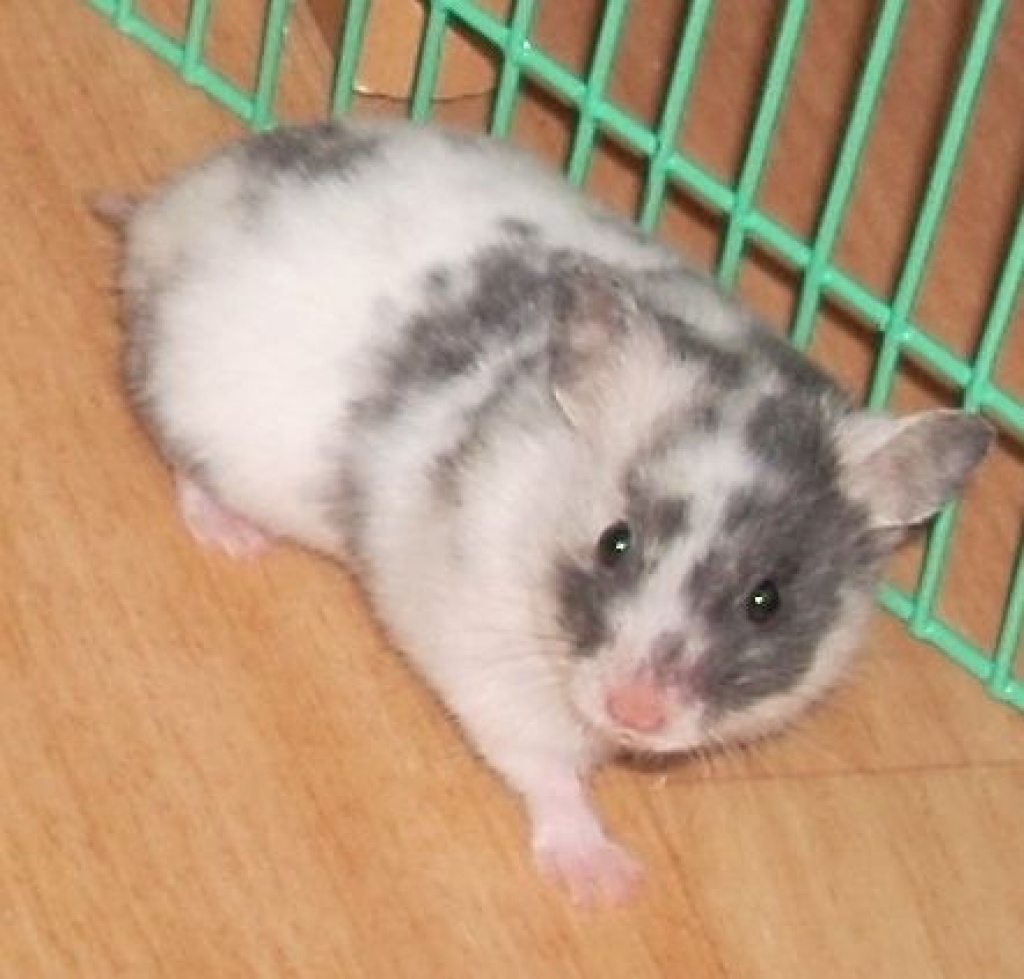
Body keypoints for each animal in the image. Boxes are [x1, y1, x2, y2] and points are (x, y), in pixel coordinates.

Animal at [99, 119, 992, 905]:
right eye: (614, 543)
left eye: (766, 600)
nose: (637, 712)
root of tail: (171, 210)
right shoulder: (491, 670)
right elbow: (545, 772)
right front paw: (608, 886)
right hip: (196, 406)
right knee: (179, 454)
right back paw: (233, 539)